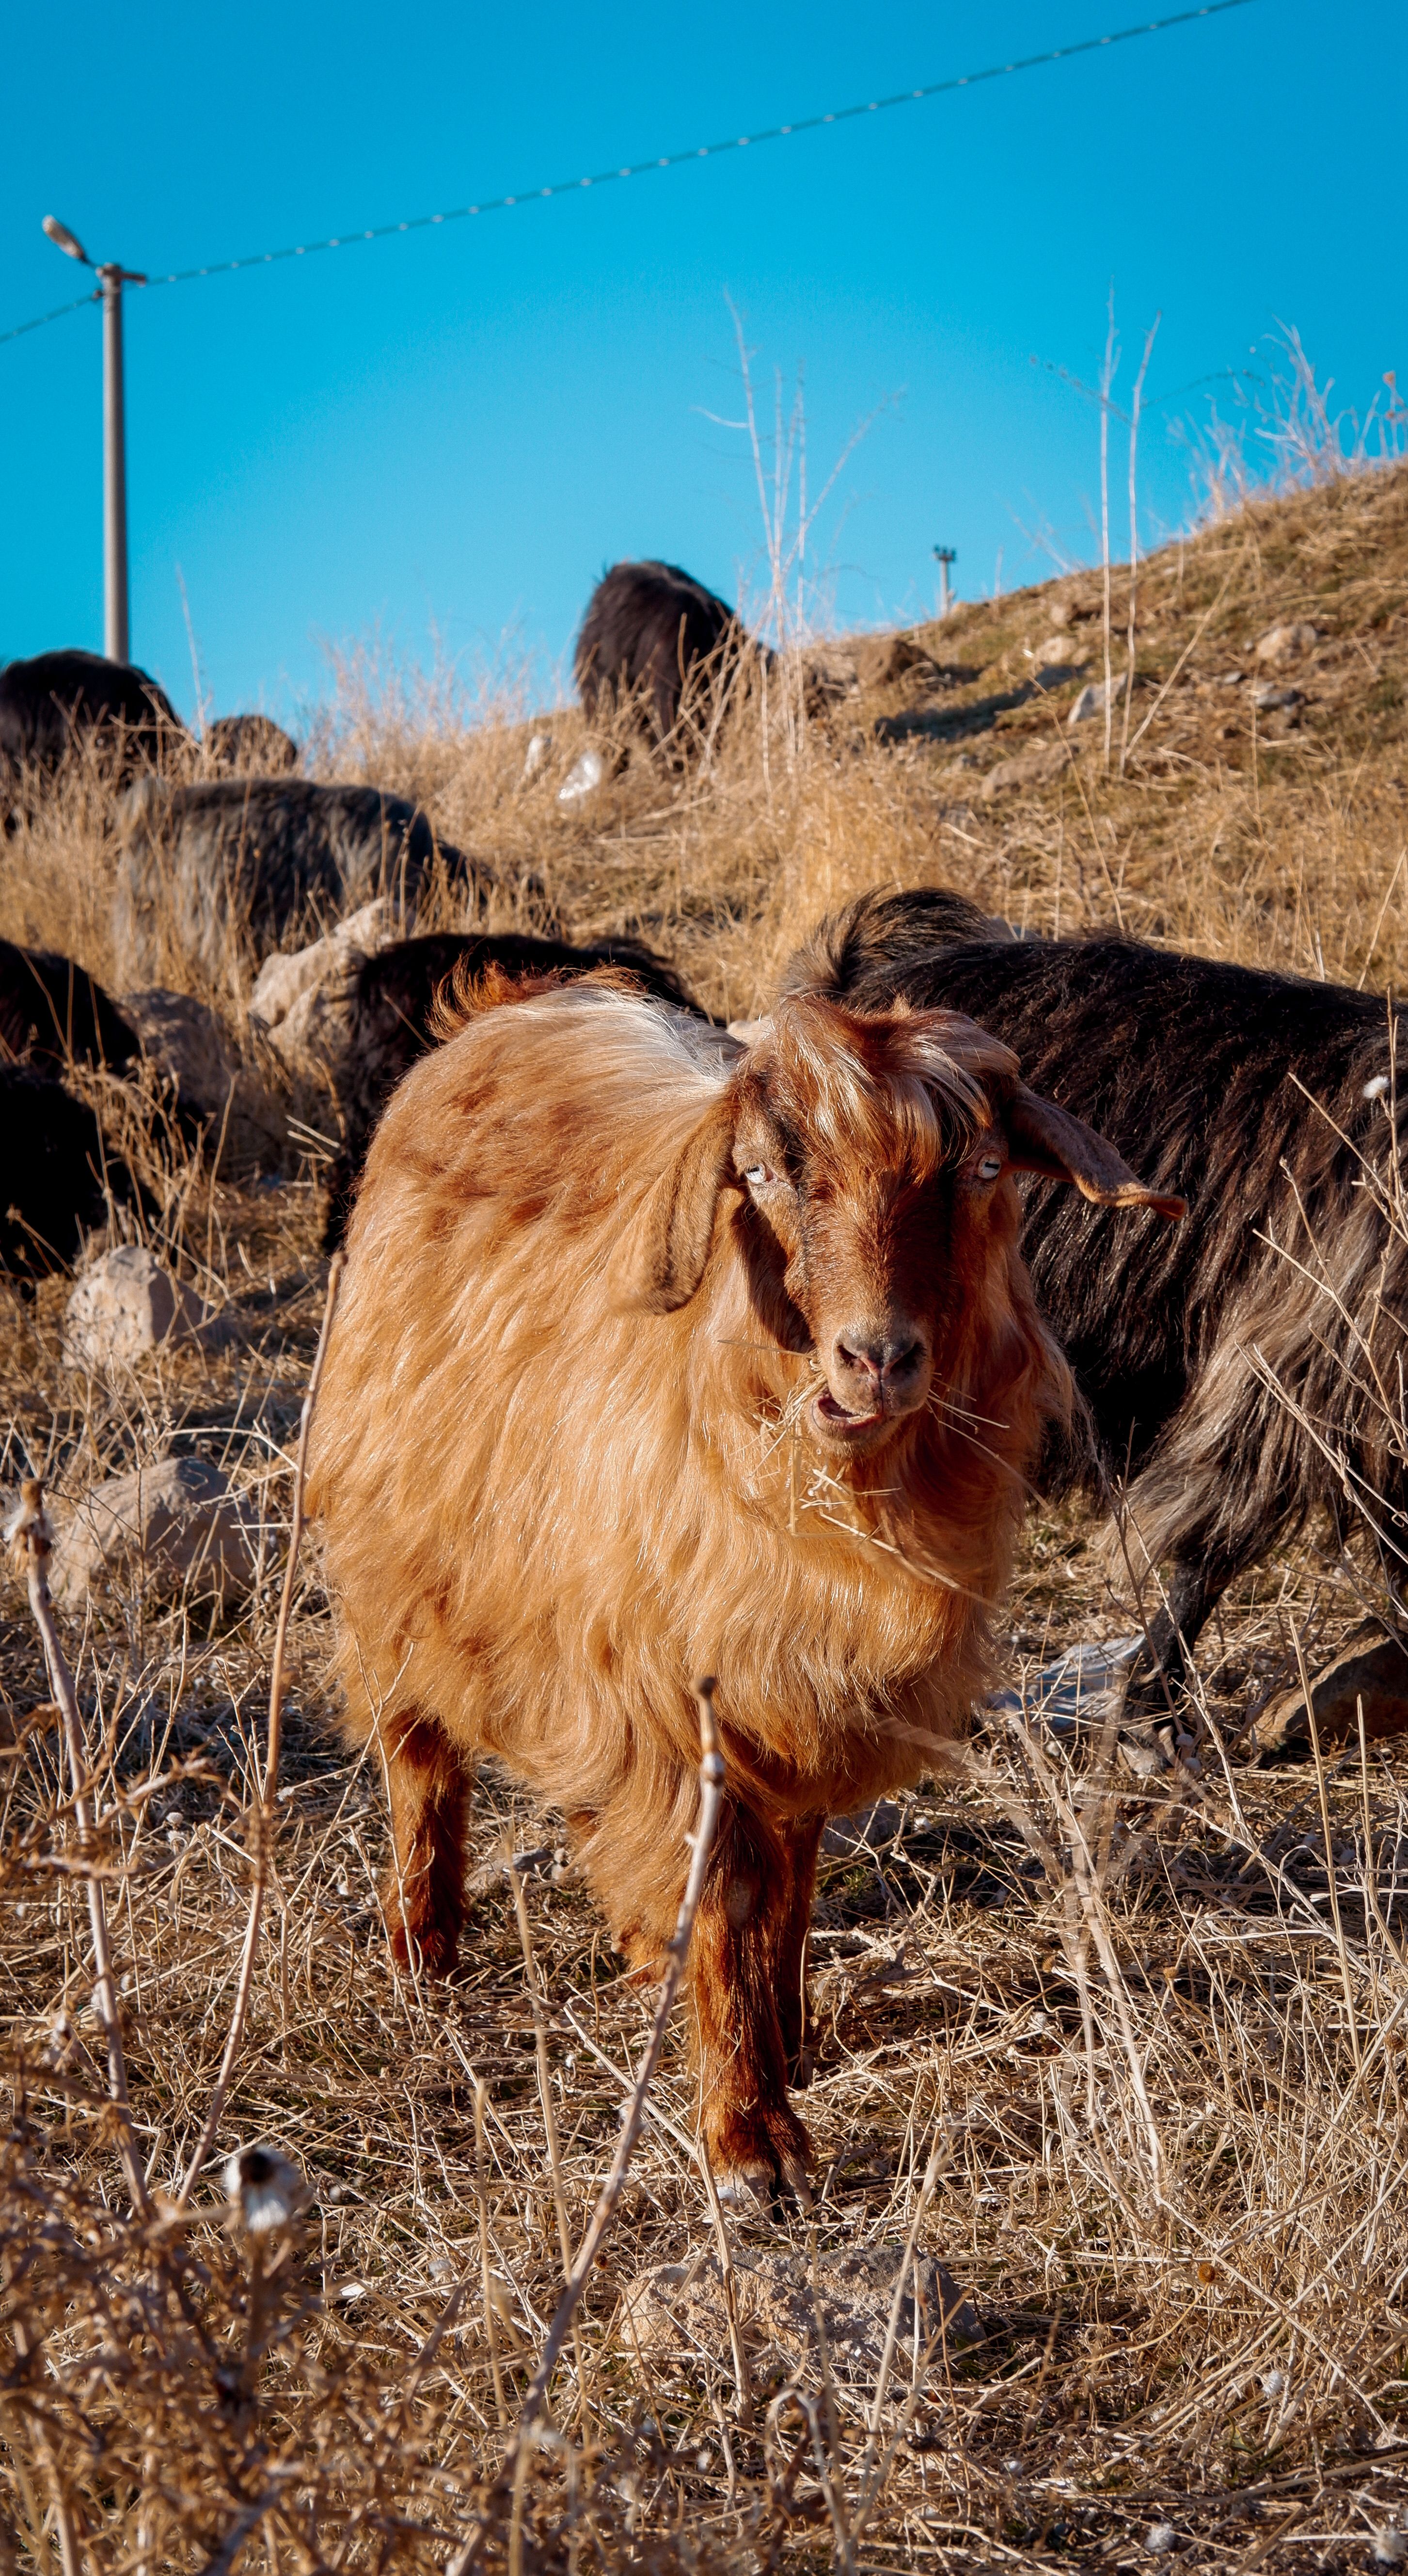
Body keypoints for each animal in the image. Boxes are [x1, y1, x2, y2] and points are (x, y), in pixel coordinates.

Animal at [309, 974, 1178, 2197]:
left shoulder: (801, 1691)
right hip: (399, 1567)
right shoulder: (686, 1701)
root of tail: (514, 1004)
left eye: (981, 1168)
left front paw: (788, 2036)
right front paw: (749, 2145)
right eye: (762, 1172)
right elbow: (720, 1894)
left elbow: (790, 1876)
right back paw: (422, 1946)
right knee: (418, 1751)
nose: (876, 1358)